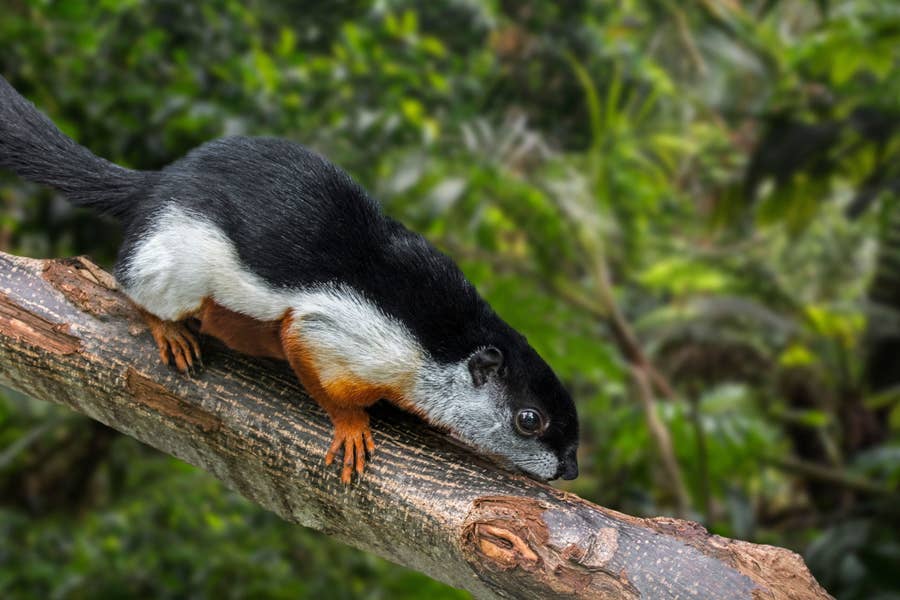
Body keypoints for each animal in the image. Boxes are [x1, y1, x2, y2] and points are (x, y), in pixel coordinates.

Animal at [0, 76, 579, 483]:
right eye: (529, 420)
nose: (570, 468)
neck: (447, 340)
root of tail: (153, 187)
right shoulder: (350, 333)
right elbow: (303, 347)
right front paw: (351, 425)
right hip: (176, 264)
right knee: (137, 288)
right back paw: (166, 328)